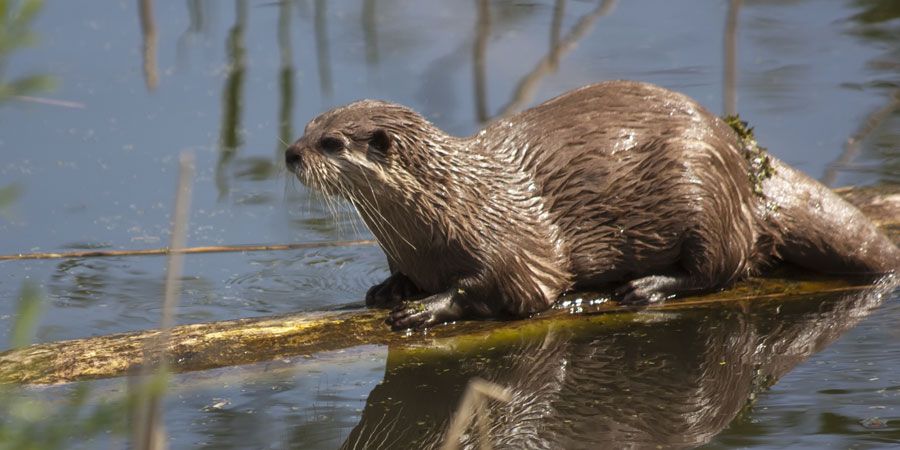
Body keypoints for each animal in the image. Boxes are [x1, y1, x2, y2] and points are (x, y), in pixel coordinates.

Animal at [285, 81, 899, 330]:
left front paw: (428, 306)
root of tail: (742, 159)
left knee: (723, 267)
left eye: (331, 143)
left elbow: (504, 287)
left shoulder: (515, 247)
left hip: (704, 192)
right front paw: (388, 289)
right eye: (308, 124)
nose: (291, 152)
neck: (451, 206)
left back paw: (649, 285)